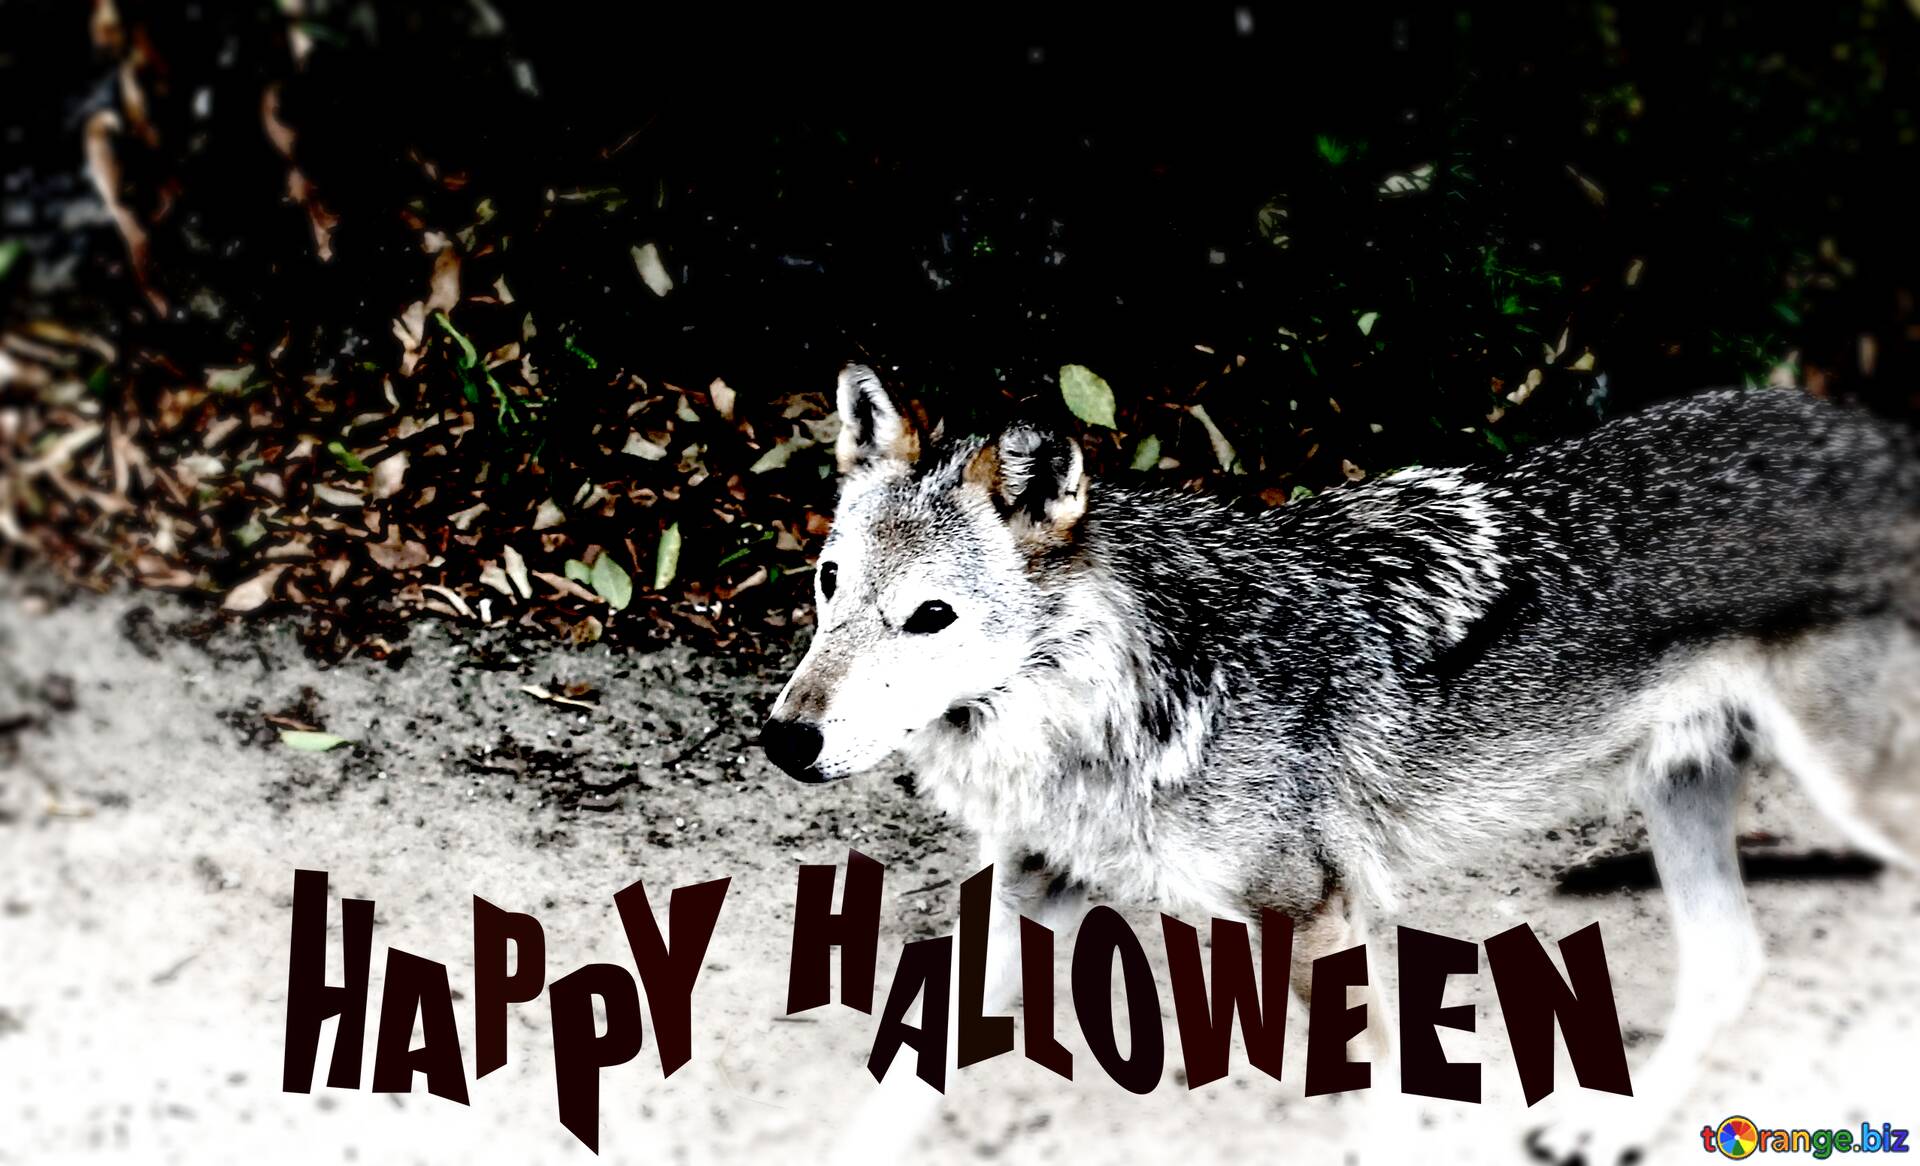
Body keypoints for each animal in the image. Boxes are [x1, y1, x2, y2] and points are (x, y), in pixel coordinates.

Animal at [763, 364, 1919, 1163]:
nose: (785, 737)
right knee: (1734, 960)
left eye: (930, 616)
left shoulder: (1312, 913)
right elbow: (902, 1086)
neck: (1123, 706)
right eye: (827, 580)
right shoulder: (1035, 883)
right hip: (1681, 792)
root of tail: (1882, 440)